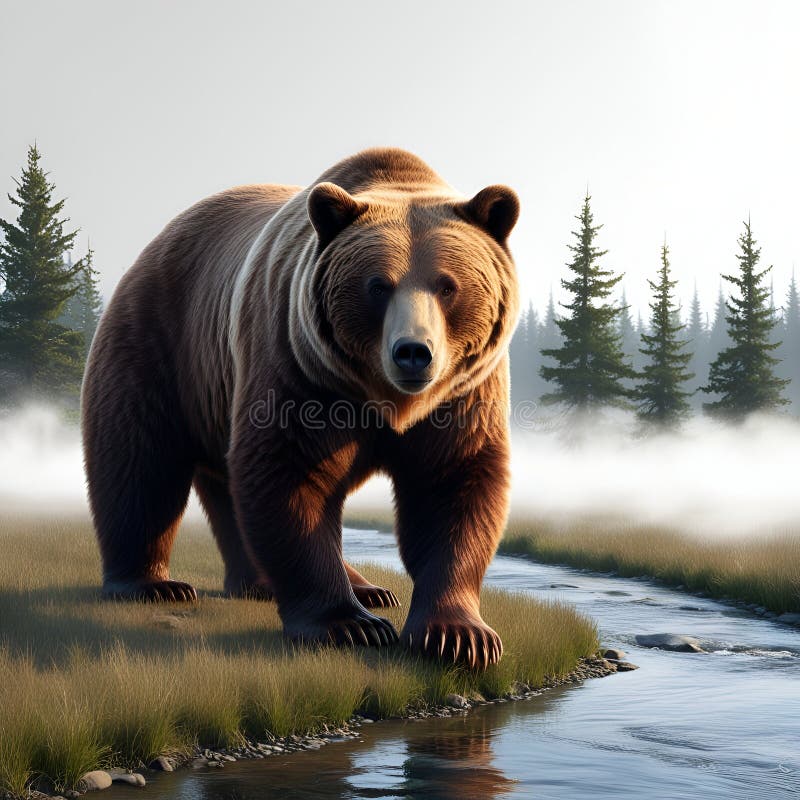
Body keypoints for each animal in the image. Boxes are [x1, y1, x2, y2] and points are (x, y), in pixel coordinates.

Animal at [81, 148, 519, 669]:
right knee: (140, 461)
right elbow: (291, 476)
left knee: (224, 485)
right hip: (162, 341)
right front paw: (349, 626)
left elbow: (452, 485)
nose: (413, 352)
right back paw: (153, 584)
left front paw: (458, 636)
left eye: (447, 286)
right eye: (378, 285)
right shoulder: (299, 368)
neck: (385, 400)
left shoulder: (463, 395)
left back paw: (358, 588)